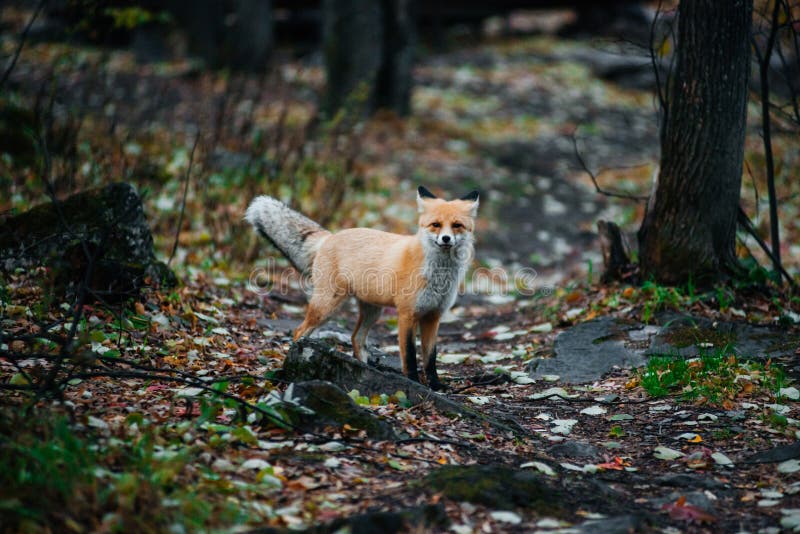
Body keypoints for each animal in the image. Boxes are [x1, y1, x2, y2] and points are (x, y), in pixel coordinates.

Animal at [245, 186, 479, 390]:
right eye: (436, 225)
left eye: (457, 225)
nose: (446, 239)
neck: (439, 275)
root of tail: (330, 236)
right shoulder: (407, 314)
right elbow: (410, 357)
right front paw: (414, 382)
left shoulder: (433, 316)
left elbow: (431, 358)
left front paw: (436, 385)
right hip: (327, 305)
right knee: (299, 331)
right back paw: (296, 359)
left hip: (372, 311)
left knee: (356, 338)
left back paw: (365, 370)